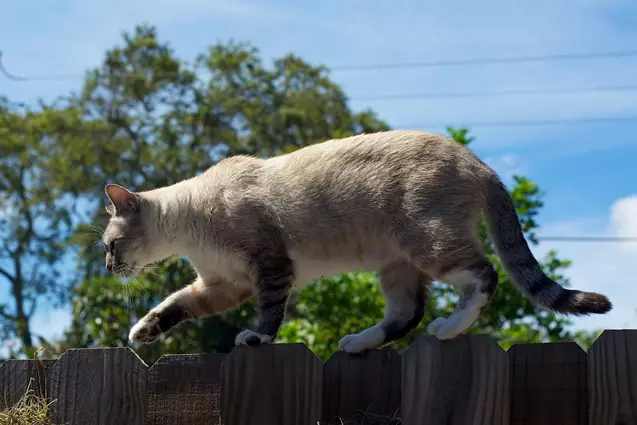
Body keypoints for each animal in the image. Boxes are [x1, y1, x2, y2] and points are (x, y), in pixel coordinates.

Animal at [100, 128, 612, 352]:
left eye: (109, 245)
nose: (107, 268)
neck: (191, 225)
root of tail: (480, 163)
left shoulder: (269, 267)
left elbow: (269, 316)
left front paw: (254, 338)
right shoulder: (223, 286)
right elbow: (174, 304)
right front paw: (140, 333)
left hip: (429, 243)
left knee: (483, 277)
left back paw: (448, 328)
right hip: (397, 265)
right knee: (406, 313)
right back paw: (358, 343)